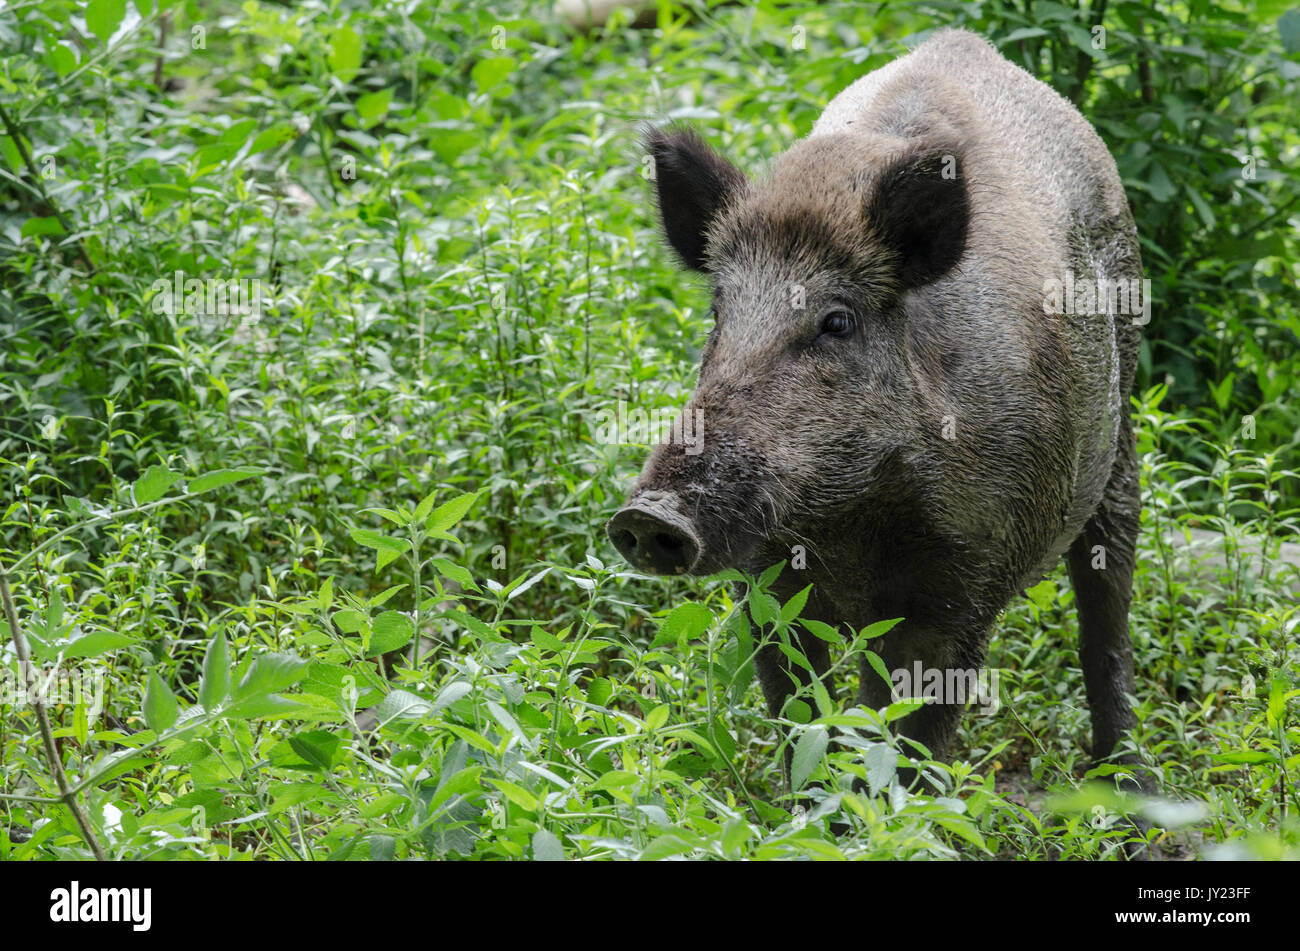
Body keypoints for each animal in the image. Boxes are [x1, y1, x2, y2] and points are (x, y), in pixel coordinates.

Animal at [608, 29, 1147, 792]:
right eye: (718, 312)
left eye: (836, 321)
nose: (648, 514)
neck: (847, 517)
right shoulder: (767, 586)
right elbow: (800, 714)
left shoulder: (963, 585)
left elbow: (910, 737)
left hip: (1122, 413)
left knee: (1108, 593)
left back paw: (1131, 786)